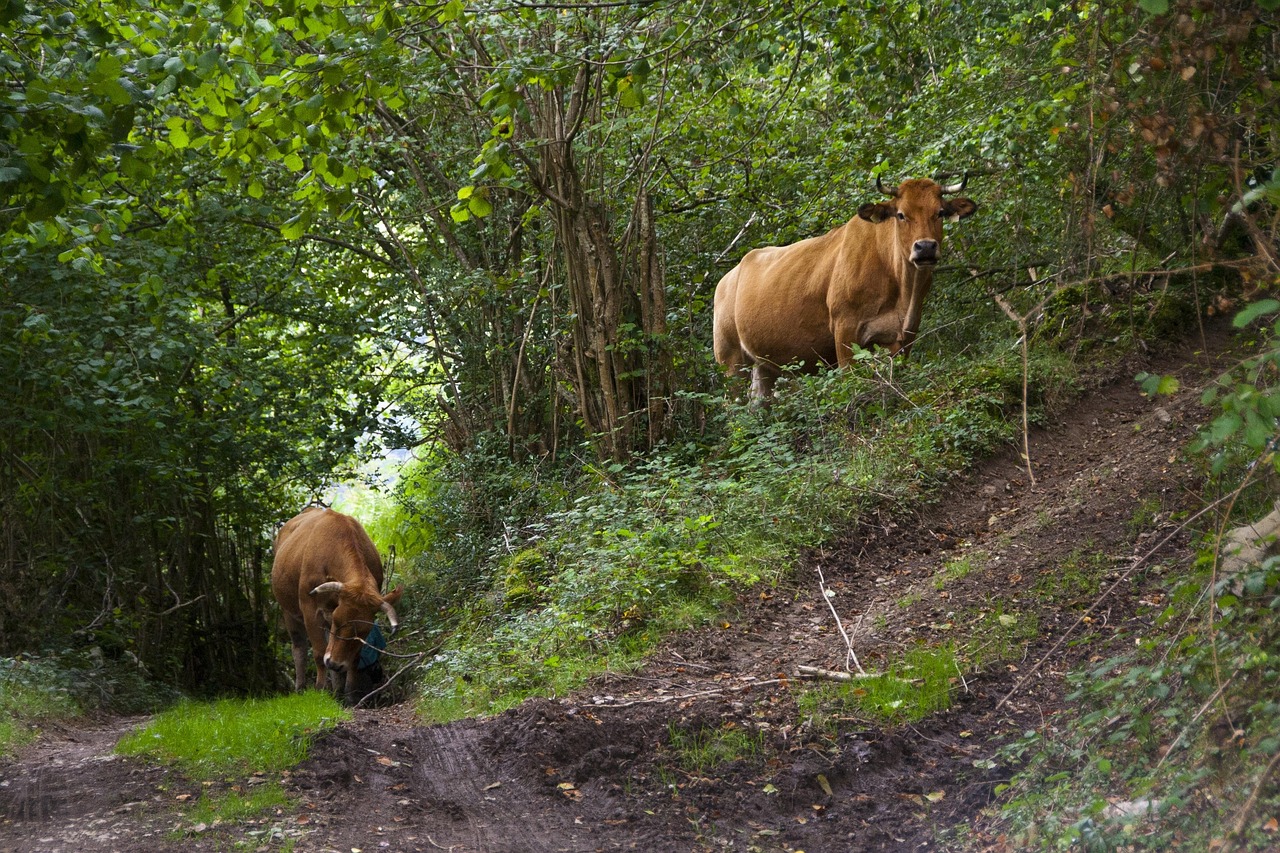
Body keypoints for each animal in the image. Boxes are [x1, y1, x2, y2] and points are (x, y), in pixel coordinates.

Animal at [270, 506, 403, 704]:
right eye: (337, 621)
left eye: (363, 631)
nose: (335, 663)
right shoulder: (310, 609)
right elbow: (318, 652)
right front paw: (320, 689)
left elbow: (354, 657)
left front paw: (350, 695)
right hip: (288, 611)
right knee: (299, 648)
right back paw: (301, 687)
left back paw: (336, 690)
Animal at [713, 175, 977, 400]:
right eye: (901, 214)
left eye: (940, 212)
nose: (925, 247)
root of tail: (728, 277)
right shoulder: (845, 329)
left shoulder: (904, 336)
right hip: (731, 361)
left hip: (764, 365)